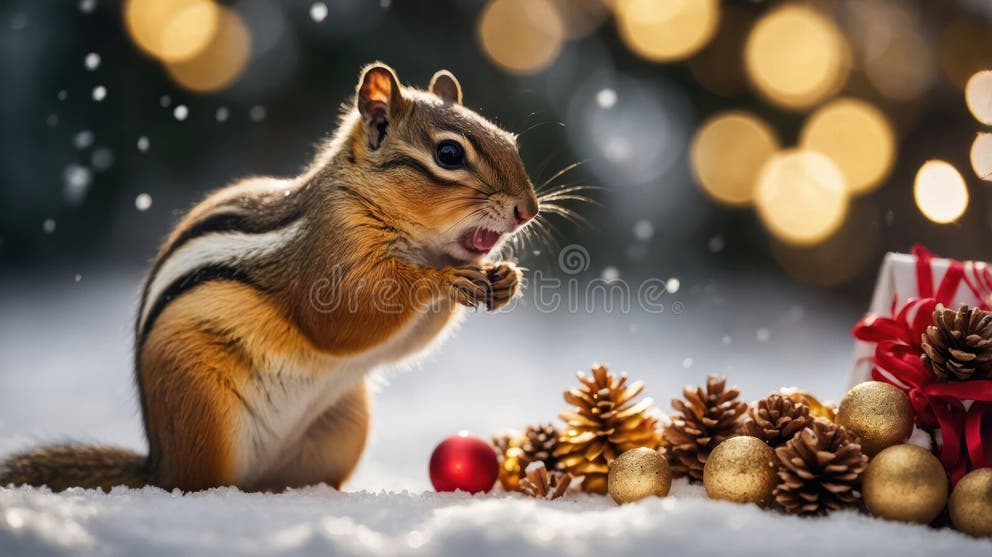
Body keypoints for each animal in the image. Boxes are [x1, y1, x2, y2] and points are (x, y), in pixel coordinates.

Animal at [0, 63, 538, 492]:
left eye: (510, 141)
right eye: (449, 155)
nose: (528, 209)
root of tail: (158, 463)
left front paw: (505, 278)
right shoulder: (328, 256)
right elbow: (346, 318)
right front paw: (443, 280)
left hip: (342, 427)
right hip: (203, 409)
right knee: (198, 485)